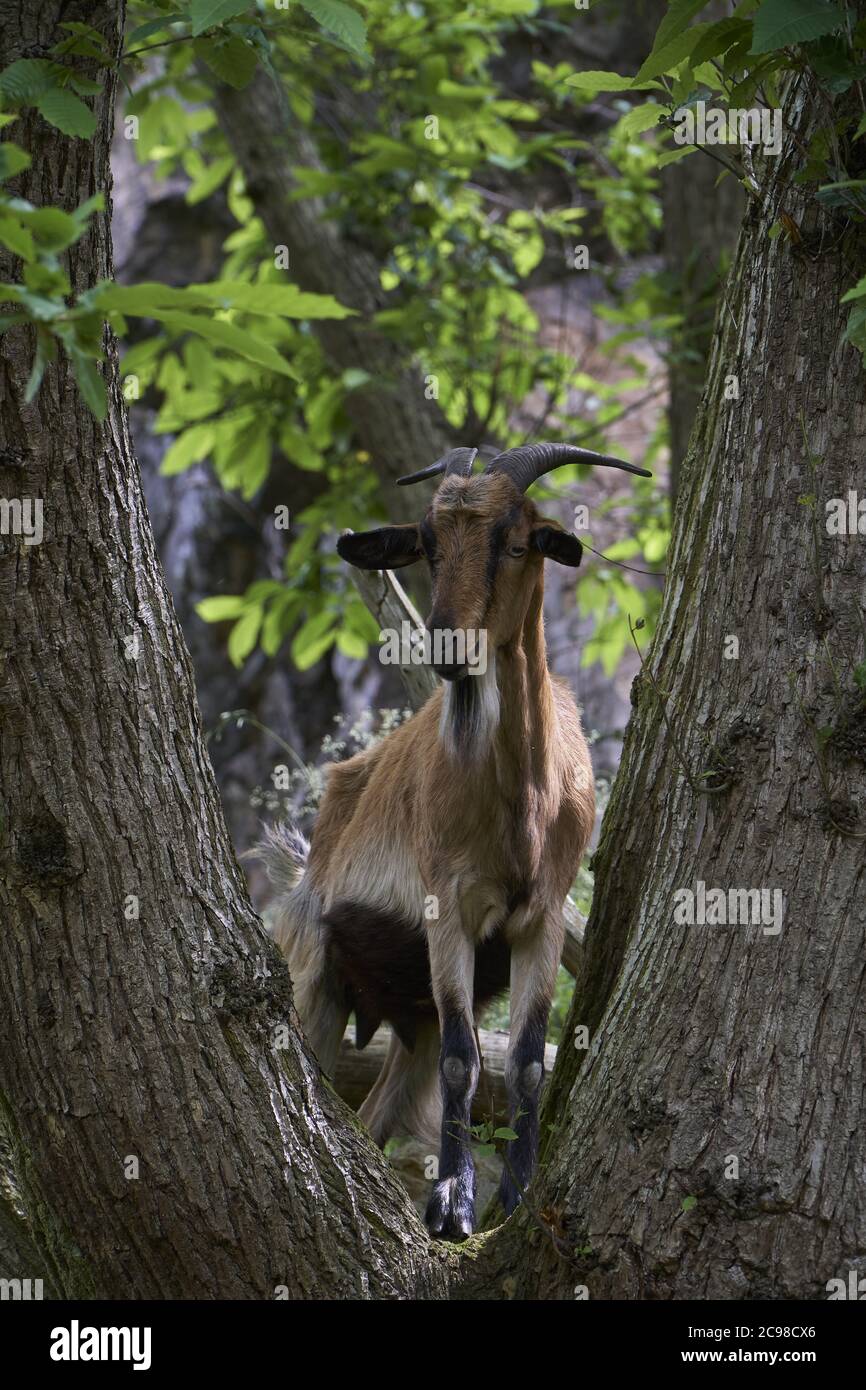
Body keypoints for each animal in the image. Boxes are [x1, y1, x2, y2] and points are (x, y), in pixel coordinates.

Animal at [256, 442, 650, 1239]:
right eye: (430, 543)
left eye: (517, 541)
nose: (446, 641)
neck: (523, 806)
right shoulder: (449, 908)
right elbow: (469, 1061)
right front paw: (452, 1207)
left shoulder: (541, 918)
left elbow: (526, 1062)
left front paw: (514, 1198)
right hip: (316, 965)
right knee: (321, 1074)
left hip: (409, 1016)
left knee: (380, 1106)